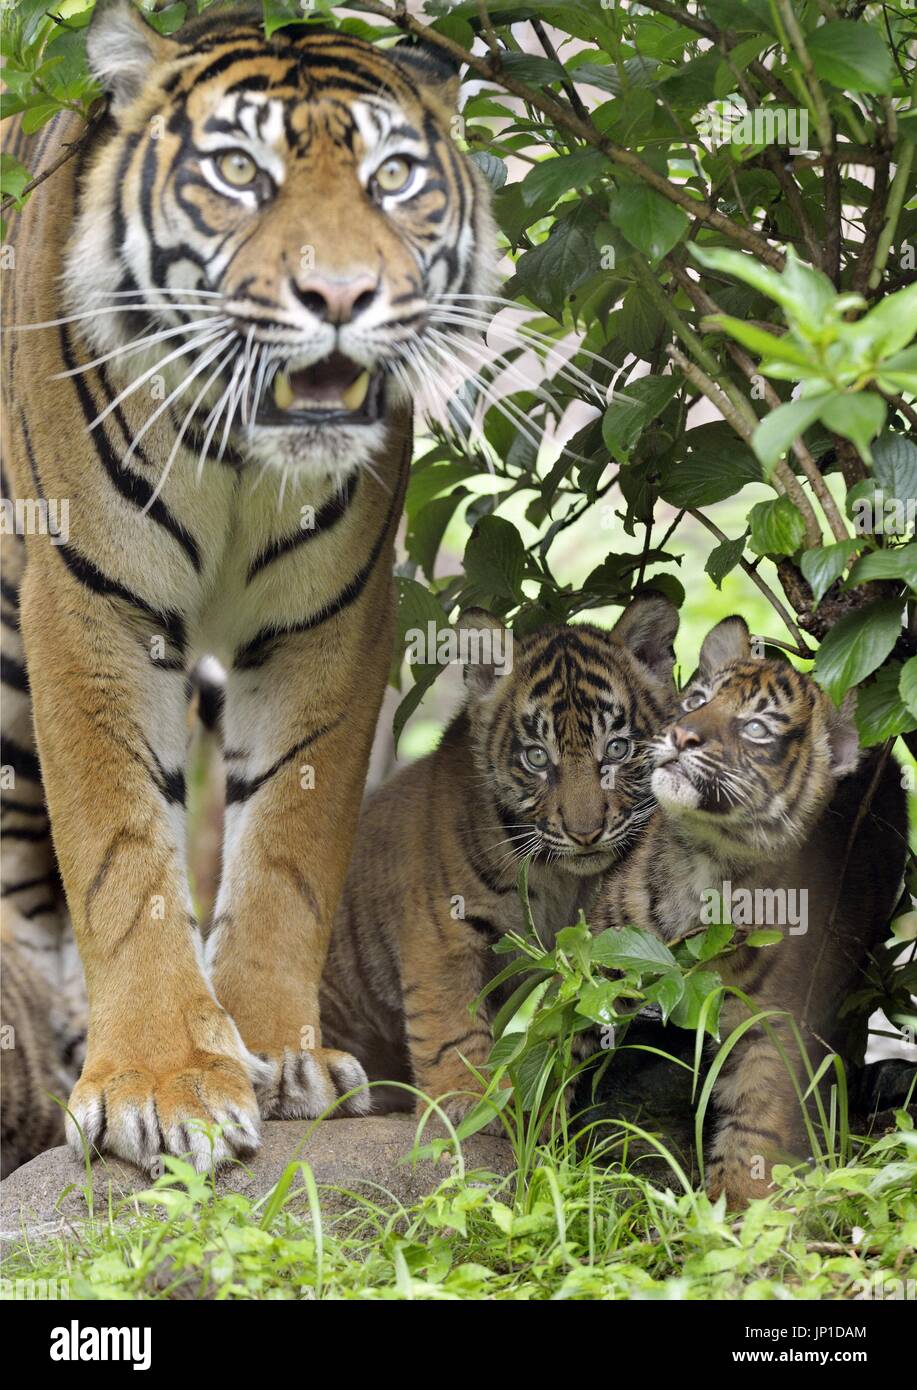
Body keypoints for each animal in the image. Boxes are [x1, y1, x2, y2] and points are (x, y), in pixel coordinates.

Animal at [0, 1, 496, 1173]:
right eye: (238, 172)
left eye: (394, 178)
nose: (341, 295)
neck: (237, 448)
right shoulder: (85, 608)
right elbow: (120, 858)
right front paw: (159, 1083)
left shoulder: (333, 619)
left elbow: (285, 855)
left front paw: (274, 1055)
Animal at [320, 596, 680, 1124]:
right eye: (537, 758)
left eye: (616, 749)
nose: (585, 832)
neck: (559, 875)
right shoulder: (441, 928)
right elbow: (450, 1022)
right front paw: (466, 1100)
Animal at [594, 616, 908, 1208]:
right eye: (696, 700)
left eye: (757, 728)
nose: (682, 735)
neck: (705, 857)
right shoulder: (605, 976)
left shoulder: (773, 1026)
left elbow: (755, 1126)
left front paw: (734, 1209)